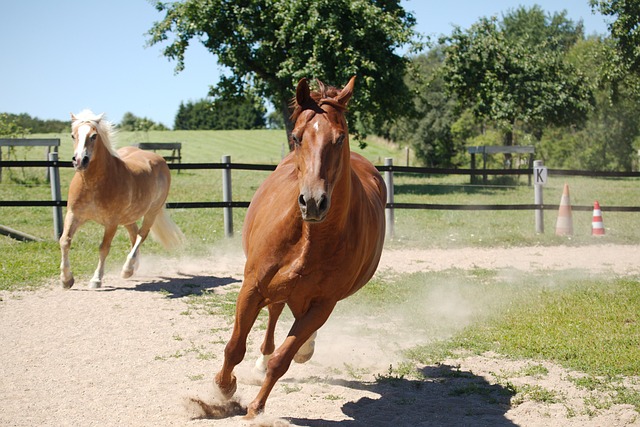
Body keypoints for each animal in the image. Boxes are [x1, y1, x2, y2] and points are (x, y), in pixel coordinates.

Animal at [59, 110, 184, 289]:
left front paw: (96, 279)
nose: (80, 161)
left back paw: (127, 269)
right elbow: (65, 241)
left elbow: (104, 248)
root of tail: (159, 160)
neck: (92, 184)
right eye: (73, 135)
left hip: (151, 212)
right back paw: (134, 266)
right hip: (128, 217)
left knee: (141, 235)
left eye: (94, 136)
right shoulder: (74, 215)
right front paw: (66, 279)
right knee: (134, 234)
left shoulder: (111, 222)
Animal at [211, 76, 386, 418]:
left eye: (340, 138)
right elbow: (235, 346)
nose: (313, 202)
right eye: (296, 137)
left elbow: (283, 359)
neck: (310, 239)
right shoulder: (252, 287)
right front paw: (224, 389)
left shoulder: (322, 305)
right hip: (273, 288)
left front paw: (255, 409)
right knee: (274, 313)